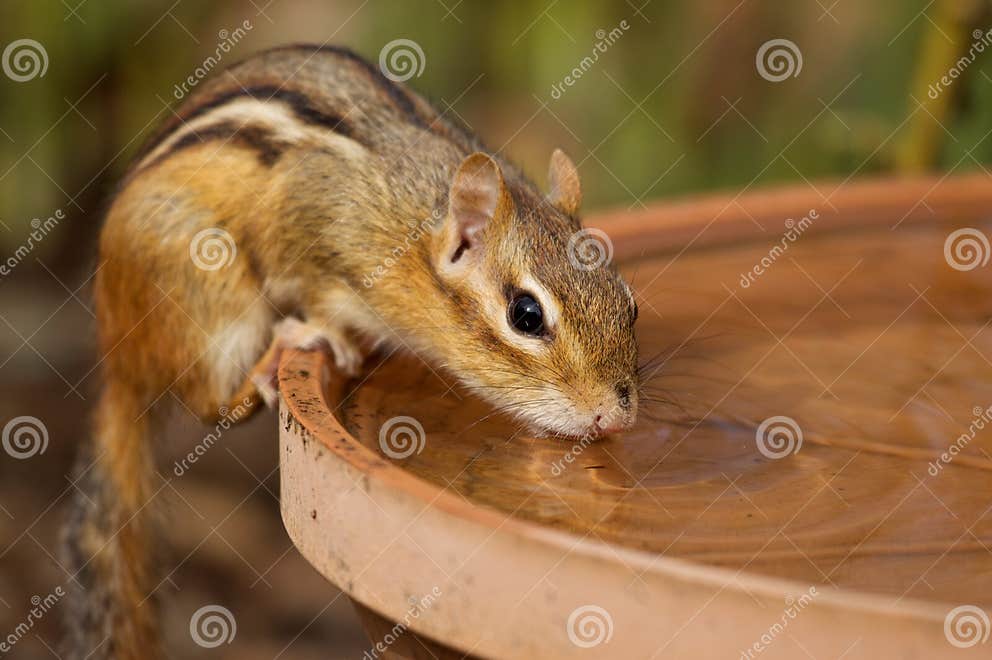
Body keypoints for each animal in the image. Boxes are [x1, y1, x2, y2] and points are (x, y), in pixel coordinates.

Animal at [60, 44, 639, 659]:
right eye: (526, 316)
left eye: (629, 303)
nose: (614, 416)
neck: (412, 225)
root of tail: (118, 362)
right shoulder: (307, 231)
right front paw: (323, 329)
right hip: (207, 291)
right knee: (212, 406)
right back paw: (278, 354)